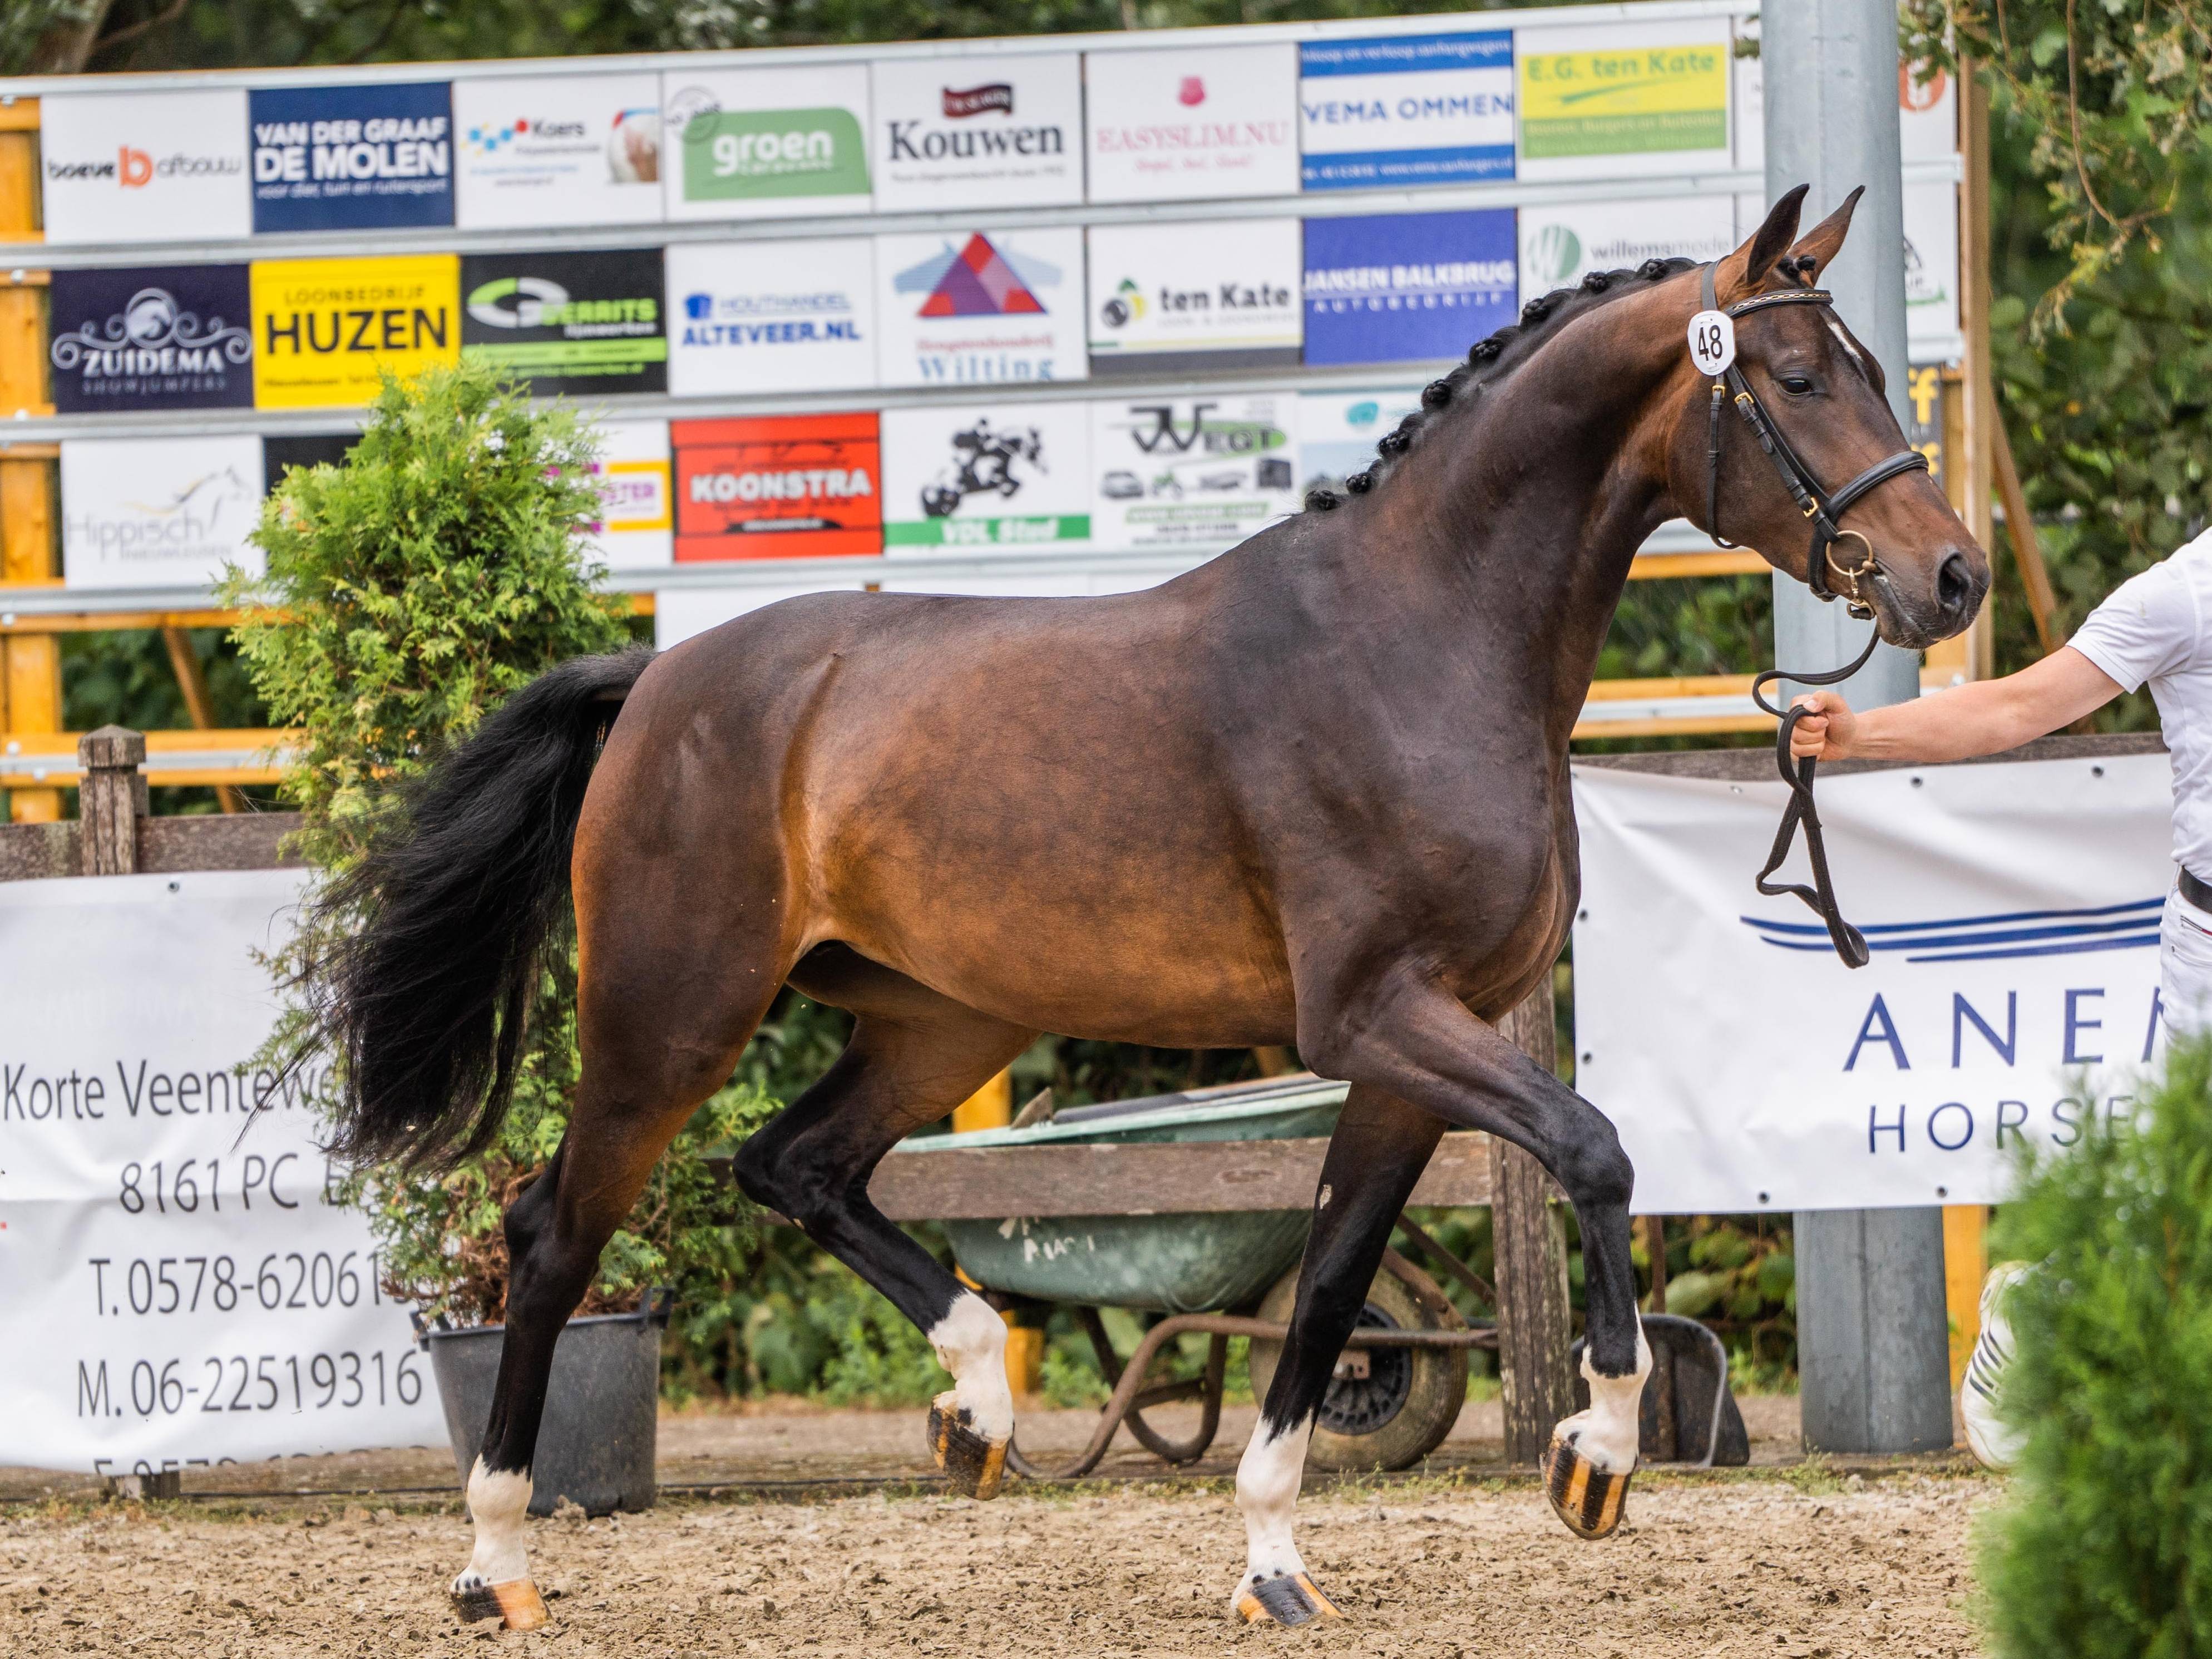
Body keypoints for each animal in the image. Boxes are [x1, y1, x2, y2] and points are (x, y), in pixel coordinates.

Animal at [309, 185, 1986, 1631]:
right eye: (1795, 375)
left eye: (1869, 370)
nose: (1953, 576)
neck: (1421, 642)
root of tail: (658, 677)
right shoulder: (1379, 1015)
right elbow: (1595, 1150)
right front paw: (1598, 1452)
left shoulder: (1402, 1057)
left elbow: (1327, 1288)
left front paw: (1275, 1563)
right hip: (671, 1016)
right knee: (552, 1236)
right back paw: (498, 1563)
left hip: (939, 1021)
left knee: (795, 1166)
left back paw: (977, 1403)